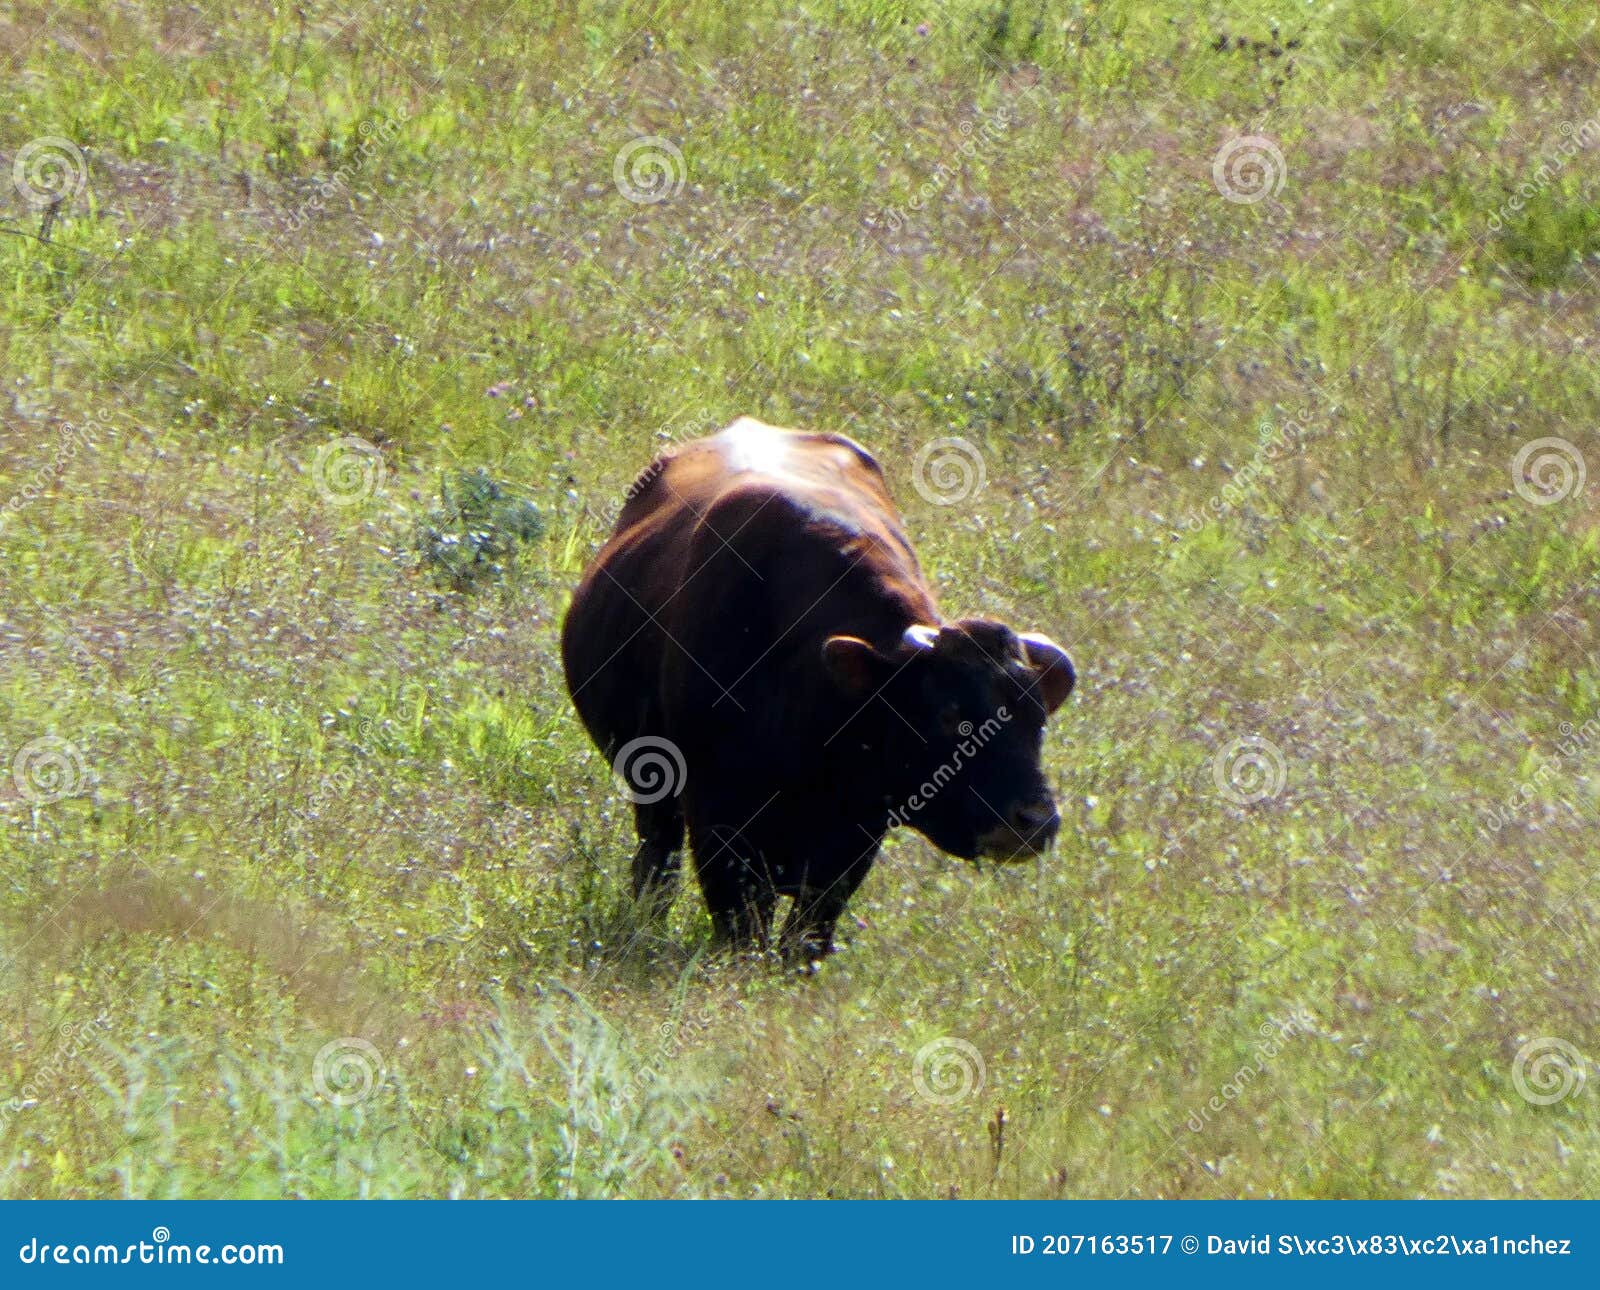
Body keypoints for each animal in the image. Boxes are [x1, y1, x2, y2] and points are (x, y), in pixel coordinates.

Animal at [561, 417, 1076, 962]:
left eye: (1038, 720)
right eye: (950, 713)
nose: (1034, 821)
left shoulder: (853, 840)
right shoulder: (716, 824)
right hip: (652, 793)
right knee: (655, 865)